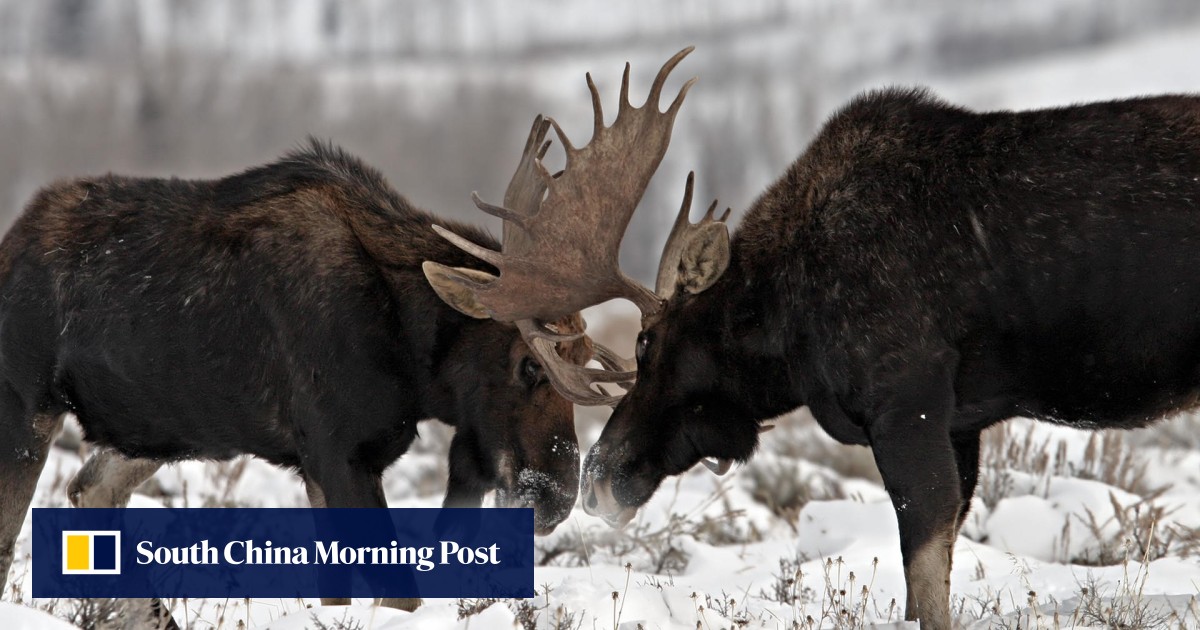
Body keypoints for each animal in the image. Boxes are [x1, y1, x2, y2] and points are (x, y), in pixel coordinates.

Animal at [433, 47, 1200, 630]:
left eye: (648, 343)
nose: (596, 477)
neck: (789, 327)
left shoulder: (909, 406)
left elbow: (924, 572)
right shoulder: (964, 425)